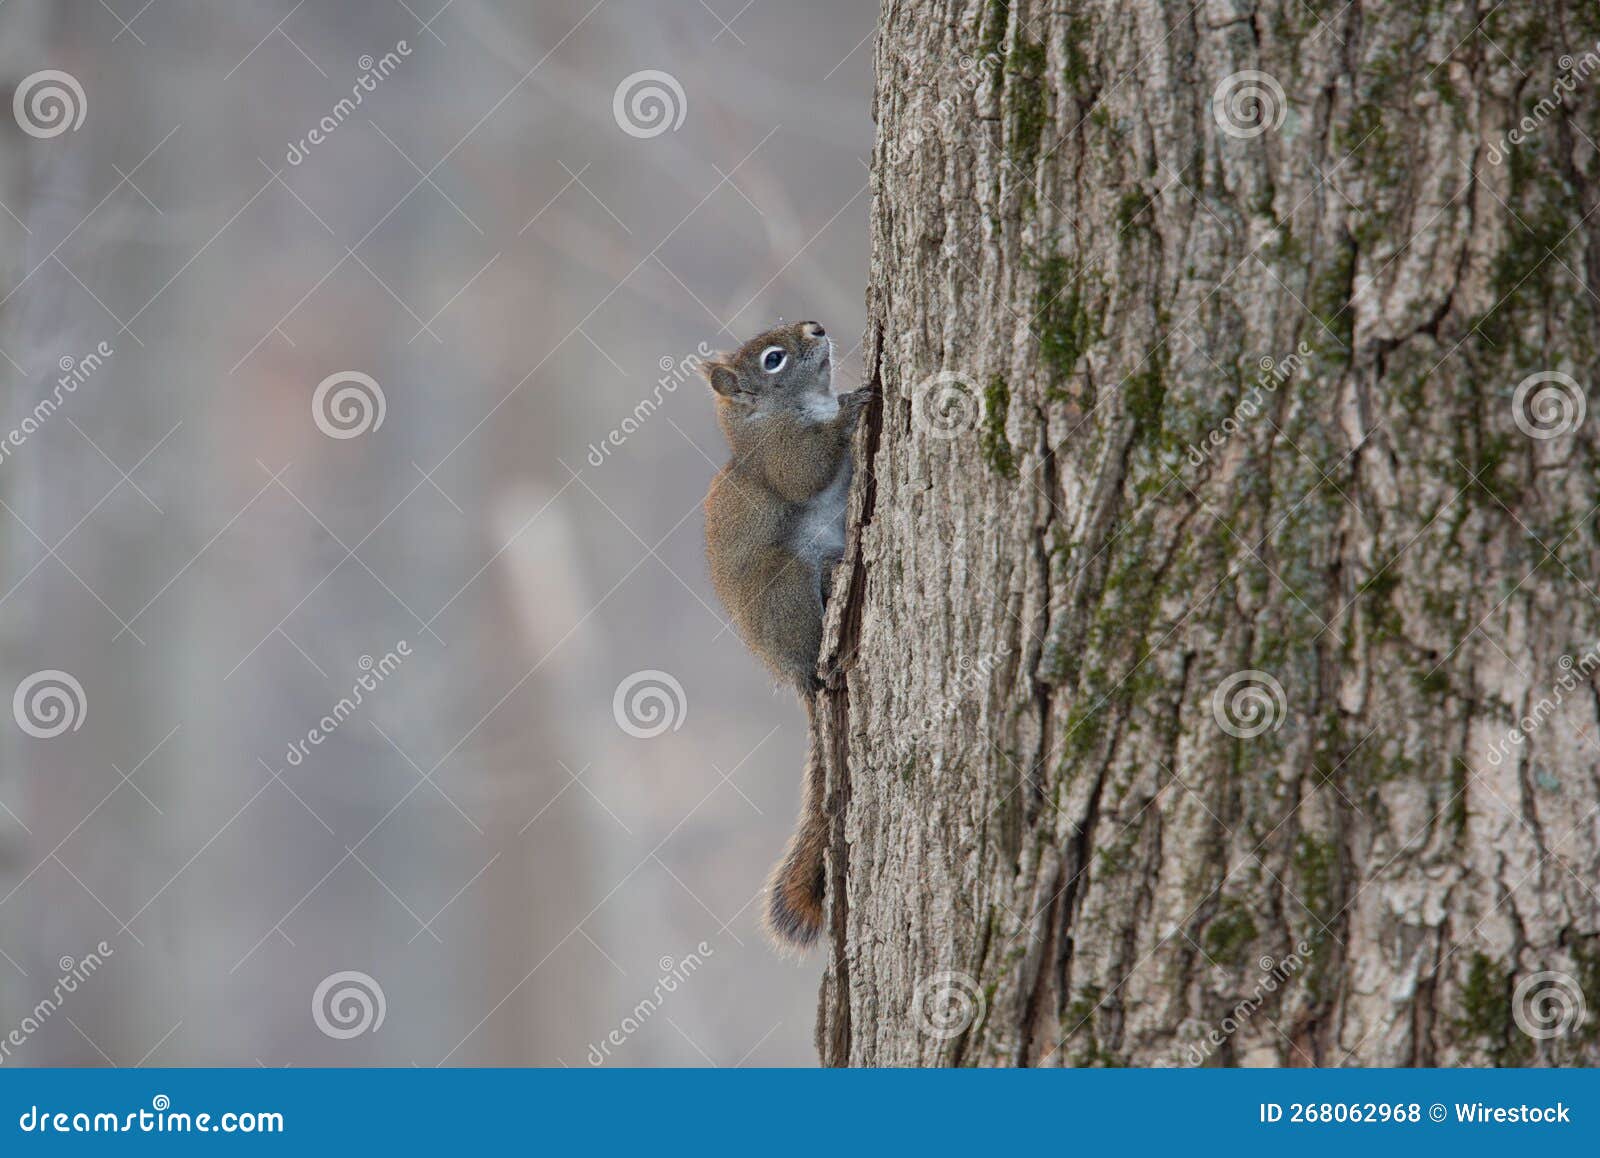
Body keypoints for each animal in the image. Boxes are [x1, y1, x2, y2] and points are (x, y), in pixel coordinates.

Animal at [700, 320, 873, 949]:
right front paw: (853, 408)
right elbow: (805, 470)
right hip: (786, 585)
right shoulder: (779, 456)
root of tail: (789, 670)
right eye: (773, 360)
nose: (814, 327)